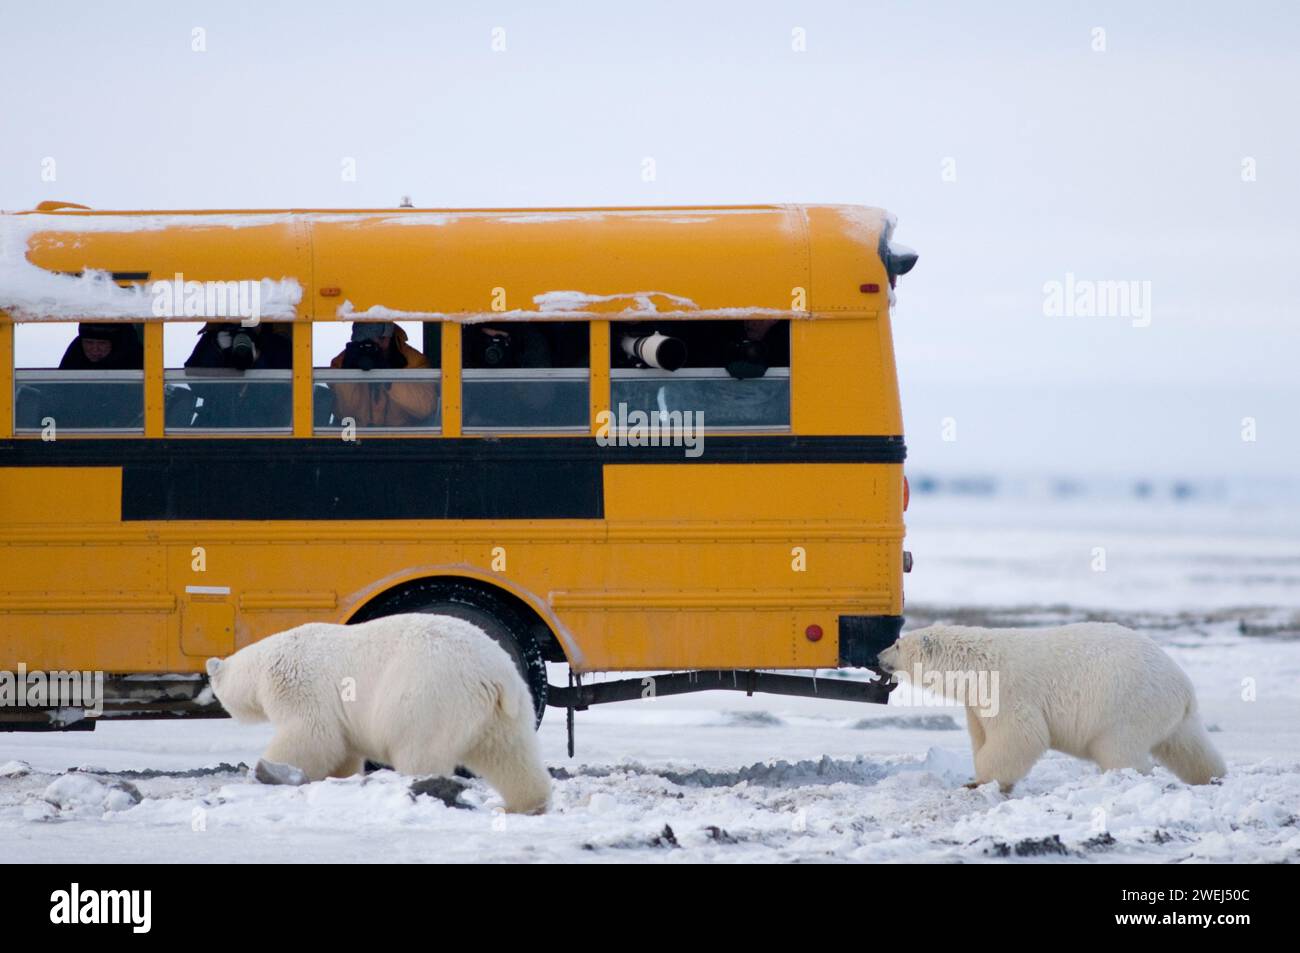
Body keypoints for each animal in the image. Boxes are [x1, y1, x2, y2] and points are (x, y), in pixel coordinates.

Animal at [205, 613, 551, 814]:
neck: (265, 664)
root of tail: (495, 675)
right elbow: (341, 750)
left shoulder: (299, 686)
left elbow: (311, 734)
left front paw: (265, 771)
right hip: (505, 711)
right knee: (511, 755)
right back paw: (527, 804)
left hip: (430, 694)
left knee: (419, 750)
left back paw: (420, 786)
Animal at [876, 622, 1226, 793]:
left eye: (897, 644)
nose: (878, 656)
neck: (976, 665)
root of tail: (1184, 687)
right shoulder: (976, 701)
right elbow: (982, 734)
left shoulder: (1008, 689)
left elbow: (1021, 735)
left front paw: (979, 781)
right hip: (1173, 716)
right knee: (1190, 747)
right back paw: (1214, 777)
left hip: (1128, 705)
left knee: (1119, 749)